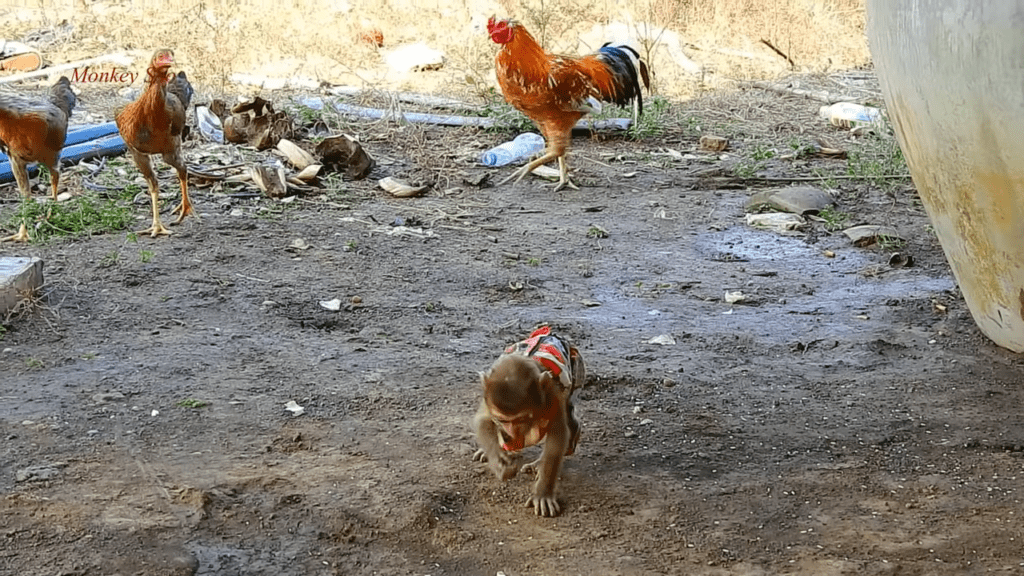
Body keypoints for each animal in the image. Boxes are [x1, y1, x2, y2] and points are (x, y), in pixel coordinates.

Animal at [473, 326, 586, 517]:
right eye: (502, 420)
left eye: (523, 419)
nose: (511, 432)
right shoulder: (489, 397)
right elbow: (483, 420)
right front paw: (499, 462)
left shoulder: (552, 394)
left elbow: (557, 434)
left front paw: (543, 494)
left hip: (577, 371)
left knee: (569, 419)